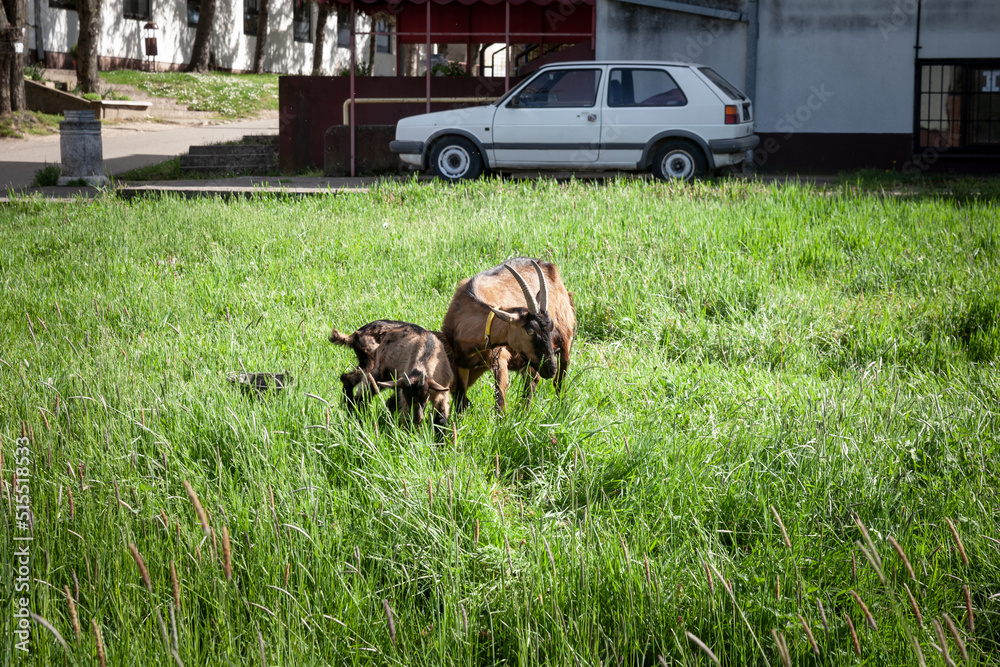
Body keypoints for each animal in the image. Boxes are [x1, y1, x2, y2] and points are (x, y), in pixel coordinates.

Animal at [441, 257, 575, 412]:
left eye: (550, 326)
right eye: (530, 331)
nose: (551, 369)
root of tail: (548, 265)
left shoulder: (500, 360)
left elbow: (499, 402)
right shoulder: (462, 364)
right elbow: (460, 400)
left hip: (564, 340)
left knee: (558, 382)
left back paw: (561, 409)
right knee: (533, 381)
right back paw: (523, 413)